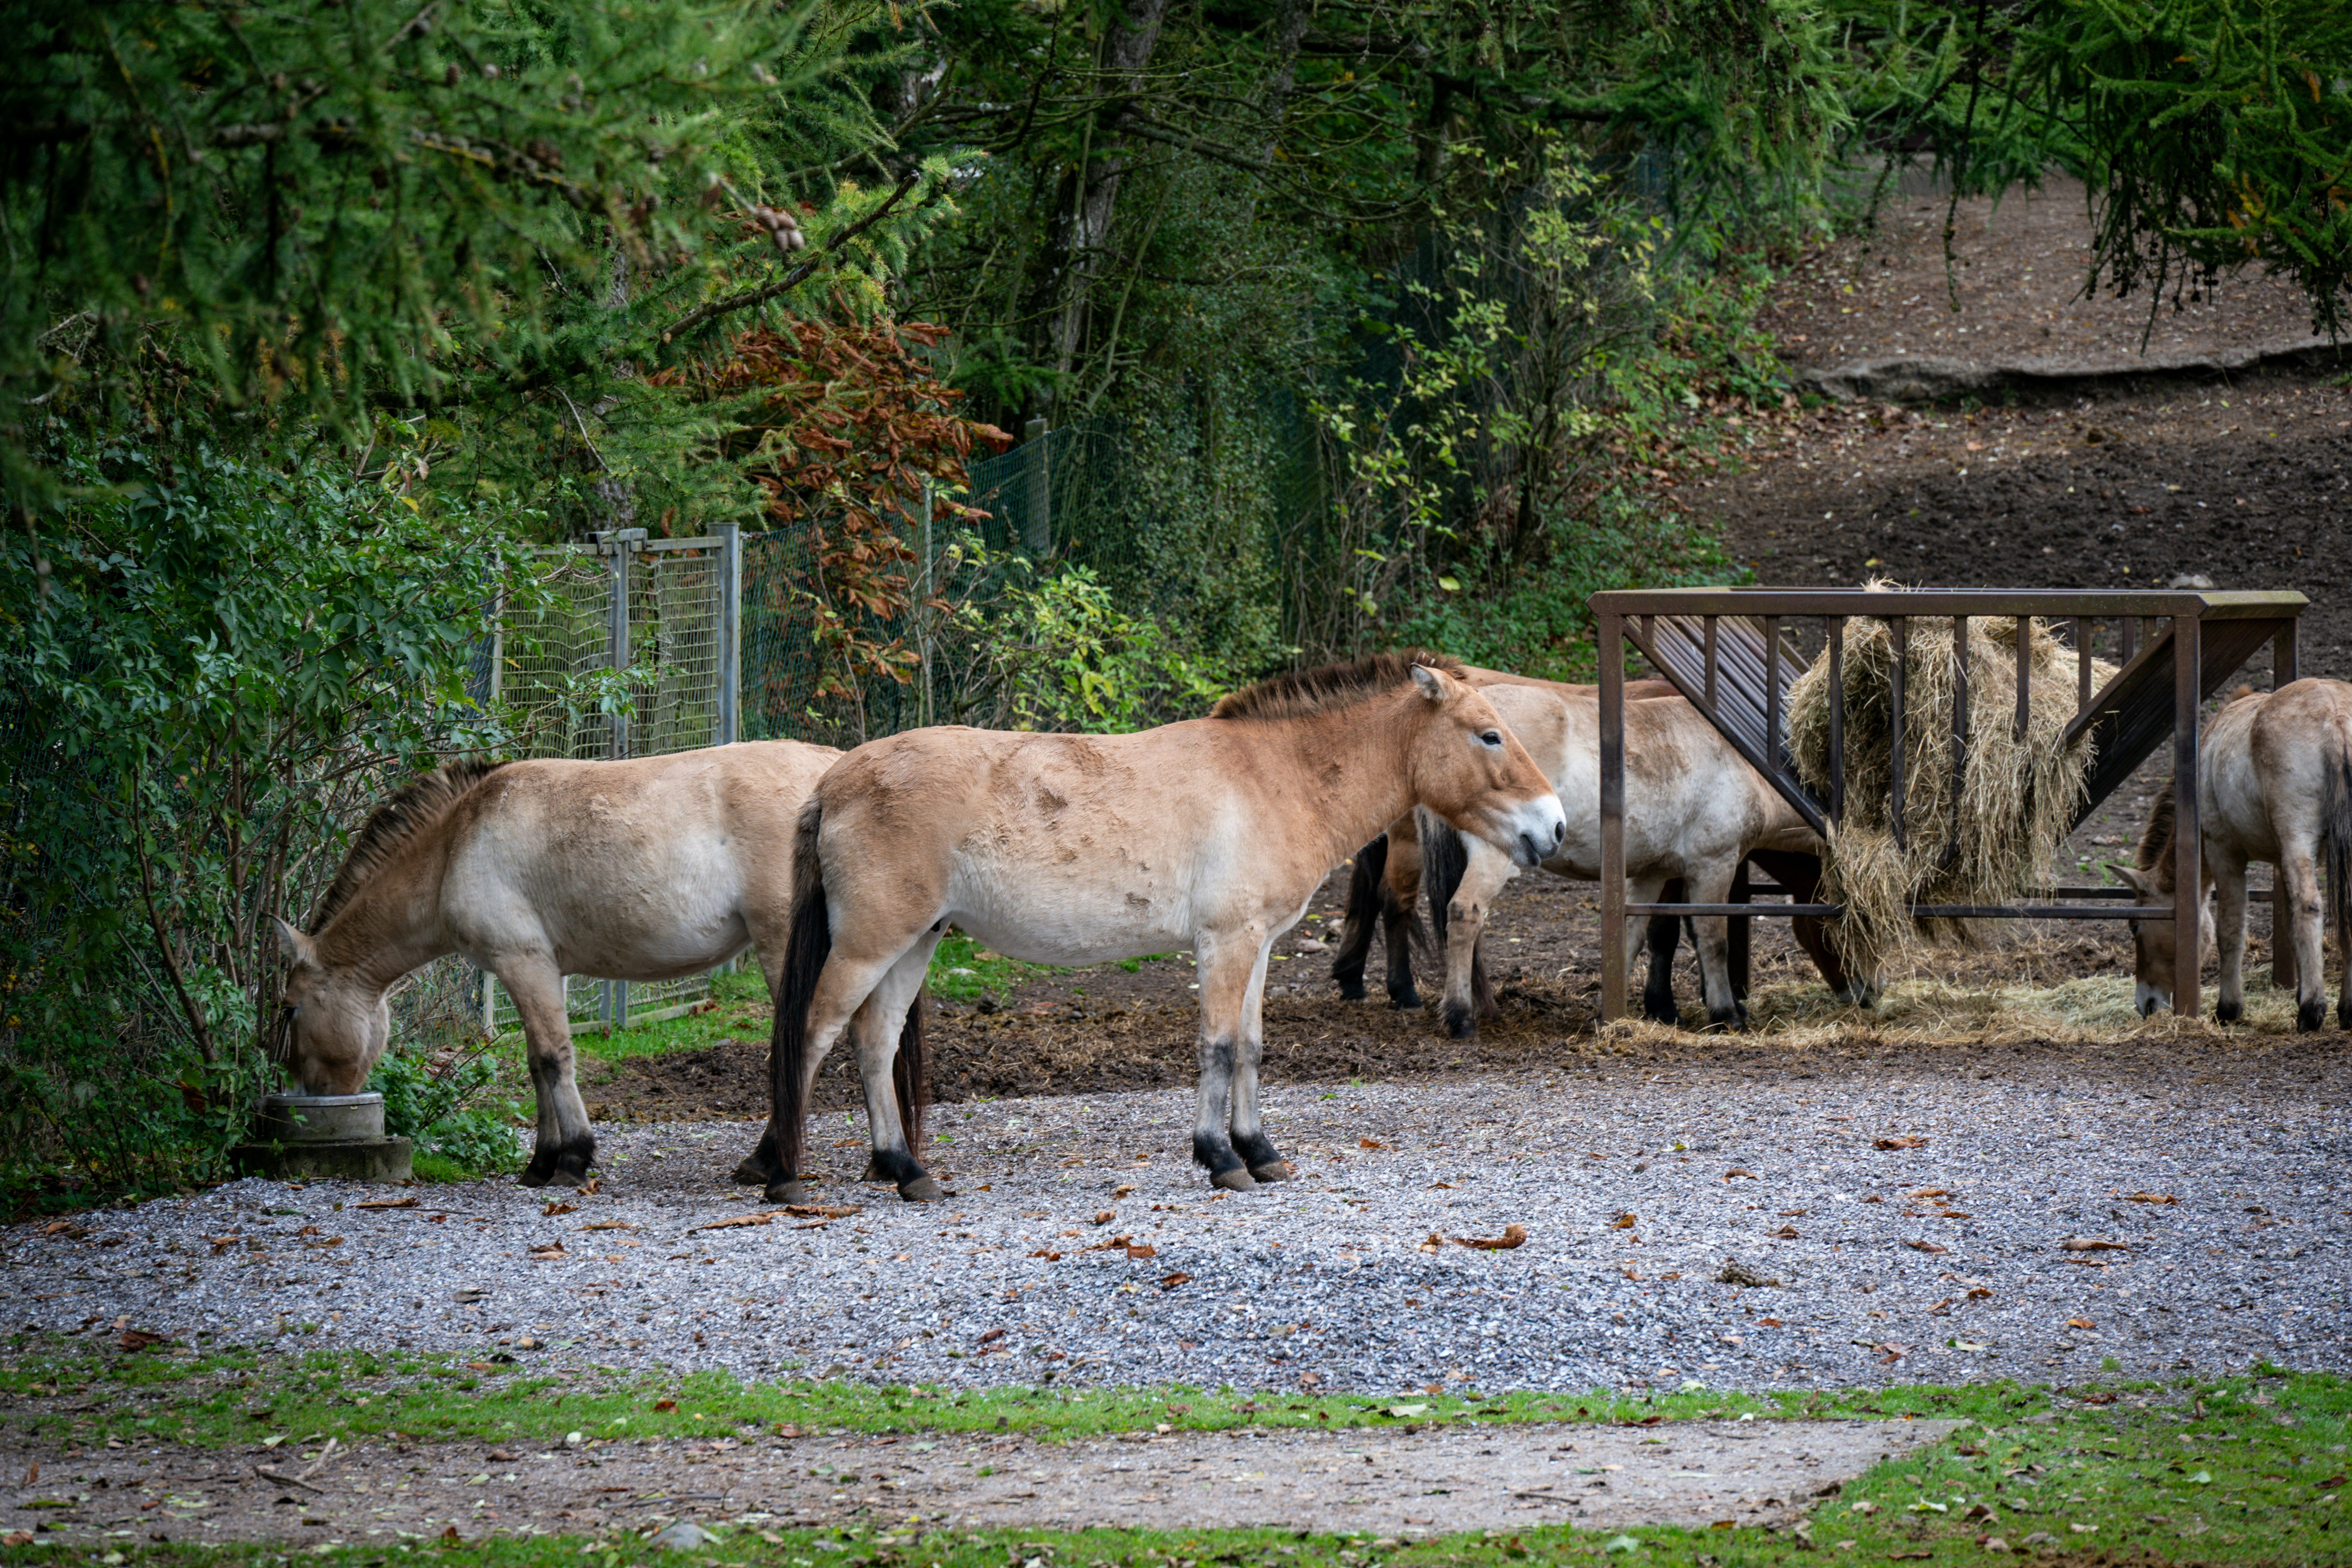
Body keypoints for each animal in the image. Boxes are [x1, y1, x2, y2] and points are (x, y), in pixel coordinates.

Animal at [272, 740, 848, 1186]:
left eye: (290, 1009)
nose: (305, 1096)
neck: (454, 846)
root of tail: (837, 774)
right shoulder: (542, 971)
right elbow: (537, 1062)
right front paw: (541, 1162)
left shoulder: (522, 963)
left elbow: (554, 1059)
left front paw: (571, 1158)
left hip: (781, 947)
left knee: (803, 1042)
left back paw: (766, 1160)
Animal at [748, 652, 1568, 1203]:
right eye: (1488, 736)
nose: (1553, 826)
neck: (1276, 776)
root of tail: (834, 780)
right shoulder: (1225, 942)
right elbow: (1217, 1046)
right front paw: (1220, 1158)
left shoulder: (1258, 945)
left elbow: (1250, 1048)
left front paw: (1259, 1151)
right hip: (871, 942)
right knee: (816, 1032)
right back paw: (782, 1172)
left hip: (915, 941)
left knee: (873, 1041)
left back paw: (904, 1170)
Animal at [1417, 684, 1875, 1034]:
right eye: (1856, 924)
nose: (1871, 993)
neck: (1744, 763)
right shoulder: (1714, 866)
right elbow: (1714, 941)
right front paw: (1726, 1014)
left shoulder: (1652, 874)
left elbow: (1635, 935)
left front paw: (1614, 1012)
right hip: (1495, 855)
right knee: (1465, 915)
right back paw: (1460, 1016)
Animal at [2112, 678, 2352, 1029]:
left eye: (2135, 926)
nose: (2146, 1004)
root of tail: (2334, 715)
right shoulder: (2281, 860)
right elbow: (2290, 925)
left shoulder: (2223, 851)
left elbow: (2230, 929)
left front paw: (2229, 1008)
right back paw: (2346, 1009)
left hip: (2296, 838)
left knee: (2310, 906)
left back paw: (2312, 1010)